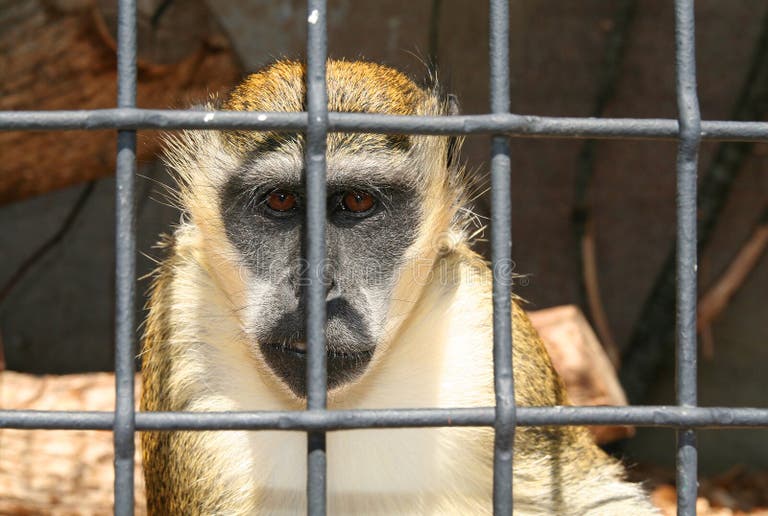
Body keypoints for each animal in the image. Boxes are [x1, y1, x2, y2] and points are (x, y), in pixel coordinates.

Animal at [140, 59, 658, 515]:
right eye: (282, 200)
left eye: (357, 201)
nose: (316, 283)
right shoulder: (185, 319)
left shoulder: (481, 316)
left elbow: (593, 497)